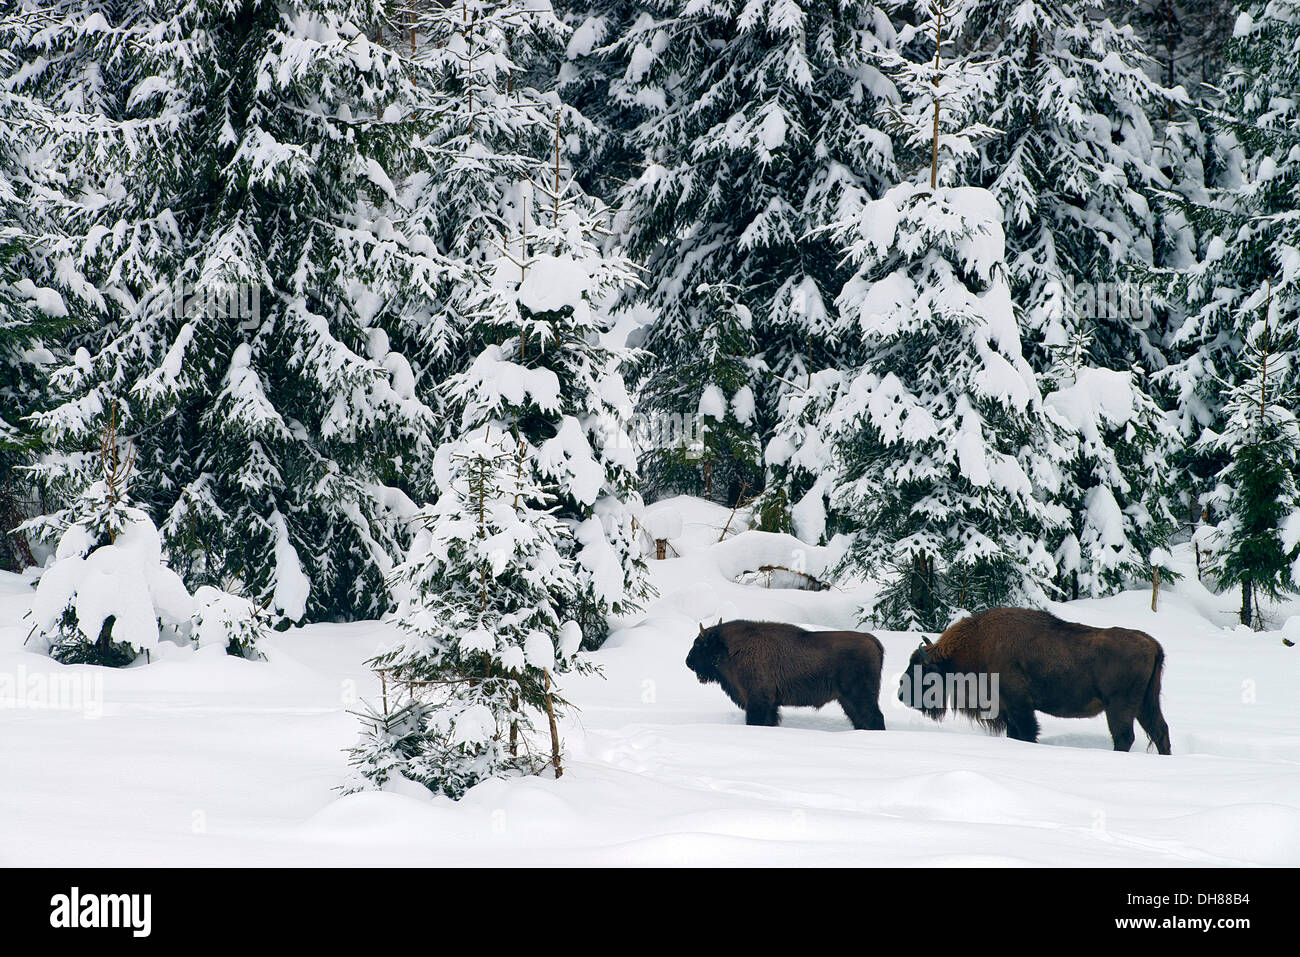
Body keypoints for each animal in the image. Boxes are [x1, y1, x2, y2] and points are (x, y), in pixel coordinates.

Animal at [686, 619, 886, 730]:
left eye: (698, 644)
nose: (688, 662)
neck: (729, 648)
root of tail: (872, 641)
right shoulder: (770, 705)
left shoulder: (757, 701)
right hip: (847, 700)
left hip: (859, 696)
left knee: (874, 718)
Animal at [899, 607, 1171, 753]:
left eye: (920, 669)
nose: (901, 693)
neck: (980, 645)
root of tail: (1152, 644)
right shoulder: (1009, 709)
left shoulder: (1019, 705)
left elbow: (1028, 732)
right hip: (1146, 704)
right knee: (1160, 731)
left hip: (1119, 707)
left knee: (1124, 736)